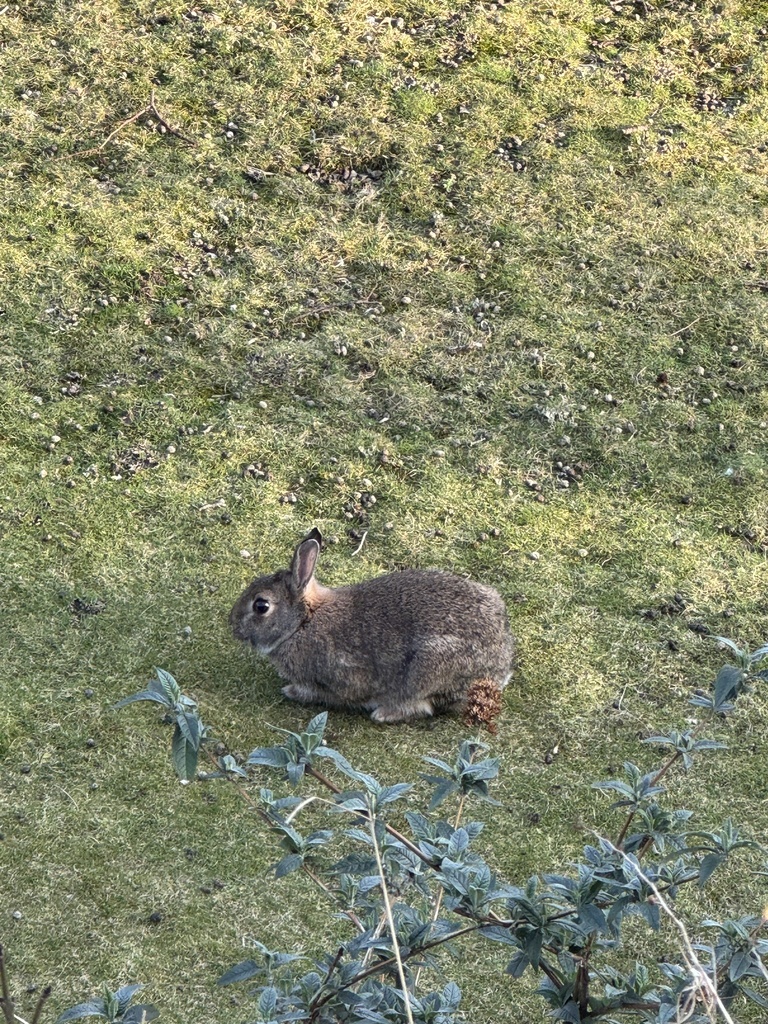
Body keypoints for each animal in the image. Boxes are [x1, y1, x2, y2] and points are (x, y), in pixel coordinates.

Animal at [229, 528, 515, 724]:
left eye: (261, 606)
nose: (233, 626)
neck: (302, 623)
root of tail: (500, 667)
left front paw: (291, 691)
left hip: (428, 668)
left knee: (421, 704)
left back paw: (383, 714)